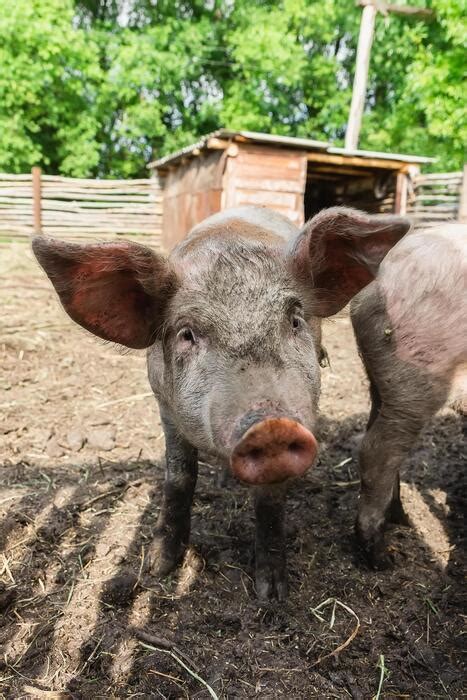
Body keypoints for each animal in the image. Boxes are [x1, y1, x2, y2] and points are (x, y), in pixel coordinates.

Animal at [32, 205, 410, 600]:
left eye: (294, 320)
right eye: (187, 334)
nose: (272, 426)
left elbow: (269, 499)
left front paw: (272, 594)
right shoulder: (164, 403)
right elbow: (180, 477)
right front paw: (157, 567)